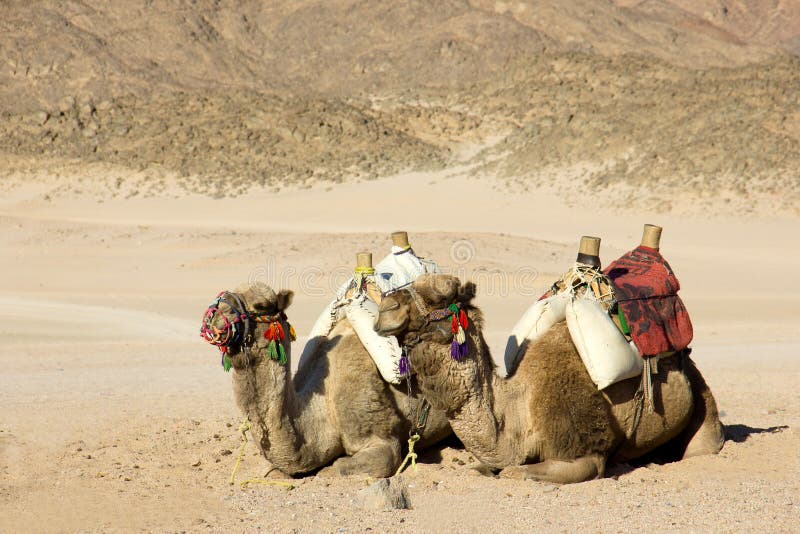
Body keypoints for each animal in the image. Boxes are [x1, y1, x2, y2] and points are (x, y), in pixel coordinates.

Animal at [375, 274, 725, 484]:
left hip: (702, 398)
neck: (518, 411)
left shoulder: (583, 452)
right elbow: (484, 468)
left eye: (440, 296)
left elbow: (515, 472)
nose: (385, 308)